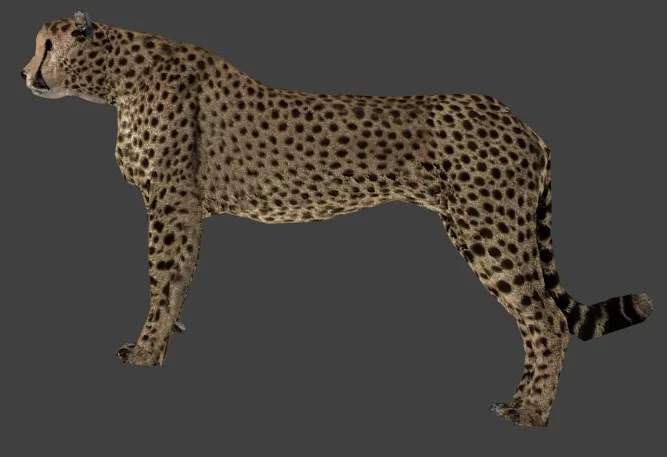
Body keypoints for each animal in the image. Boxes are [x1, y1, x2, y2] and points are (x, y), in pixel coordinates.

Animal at [21, 11, 653, 427]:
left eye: (47, 48)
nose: (26, 74)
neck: (118, 73)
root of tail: (518, 119)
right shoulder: (190, 207)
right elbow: (182, 278)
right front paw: (168, 334)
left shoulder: (172, 200)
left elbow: (162, 276)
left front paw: (146, 353)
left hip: (488, 229)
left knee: (544, 317)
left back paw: (530, 411)